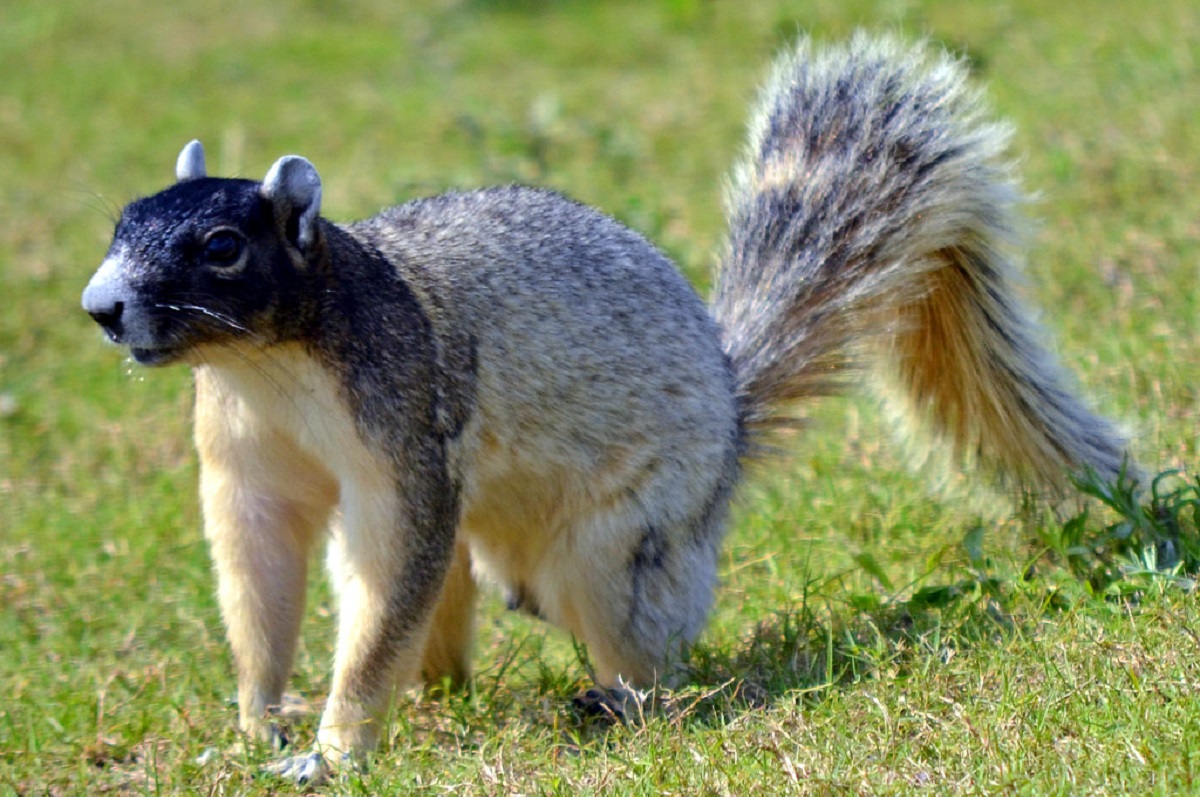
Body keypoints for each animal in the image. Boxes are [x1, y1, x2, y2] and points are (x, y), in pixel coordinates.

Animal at [82, 34, 1129, 781]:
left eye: (222, 247)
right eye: (123, 219)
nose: (101, 307)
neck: (265, 363)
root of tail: (730, 428)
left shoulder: (402, 426)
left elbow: (387, 582)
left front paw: (333, 751)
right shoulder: (244, 459)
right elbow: (259, 575)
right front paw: (256, 723)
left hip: (622, 543)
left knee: (634, 644)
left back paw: (619, 700)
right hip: (489, 557)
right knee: (444, 620)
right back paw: (438, 696)